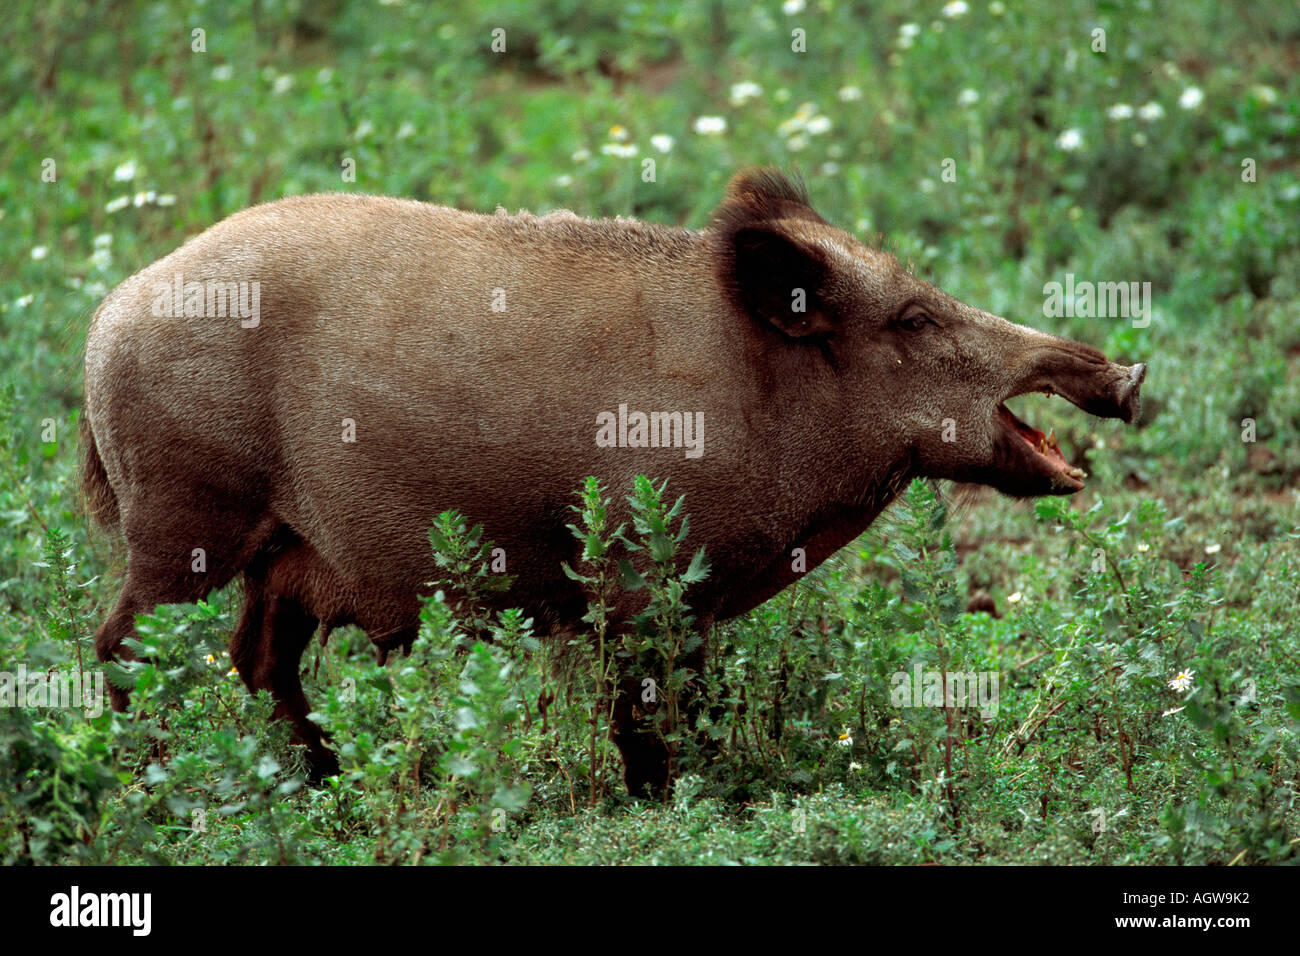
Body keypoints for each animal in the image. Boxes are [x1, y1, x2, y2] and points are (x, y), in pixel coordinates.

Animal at [82, 169, 1145, 796]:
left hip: (282, 556)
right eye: (914, 318)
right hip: (182, 521)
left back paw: (325, 781)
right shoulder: (641, 582)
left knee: (257, 658)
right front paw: (672, 806)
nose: (1125, 372)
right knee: (122, 648)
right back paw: (162, 782)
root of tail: (106, 318)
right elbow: (644, 715)